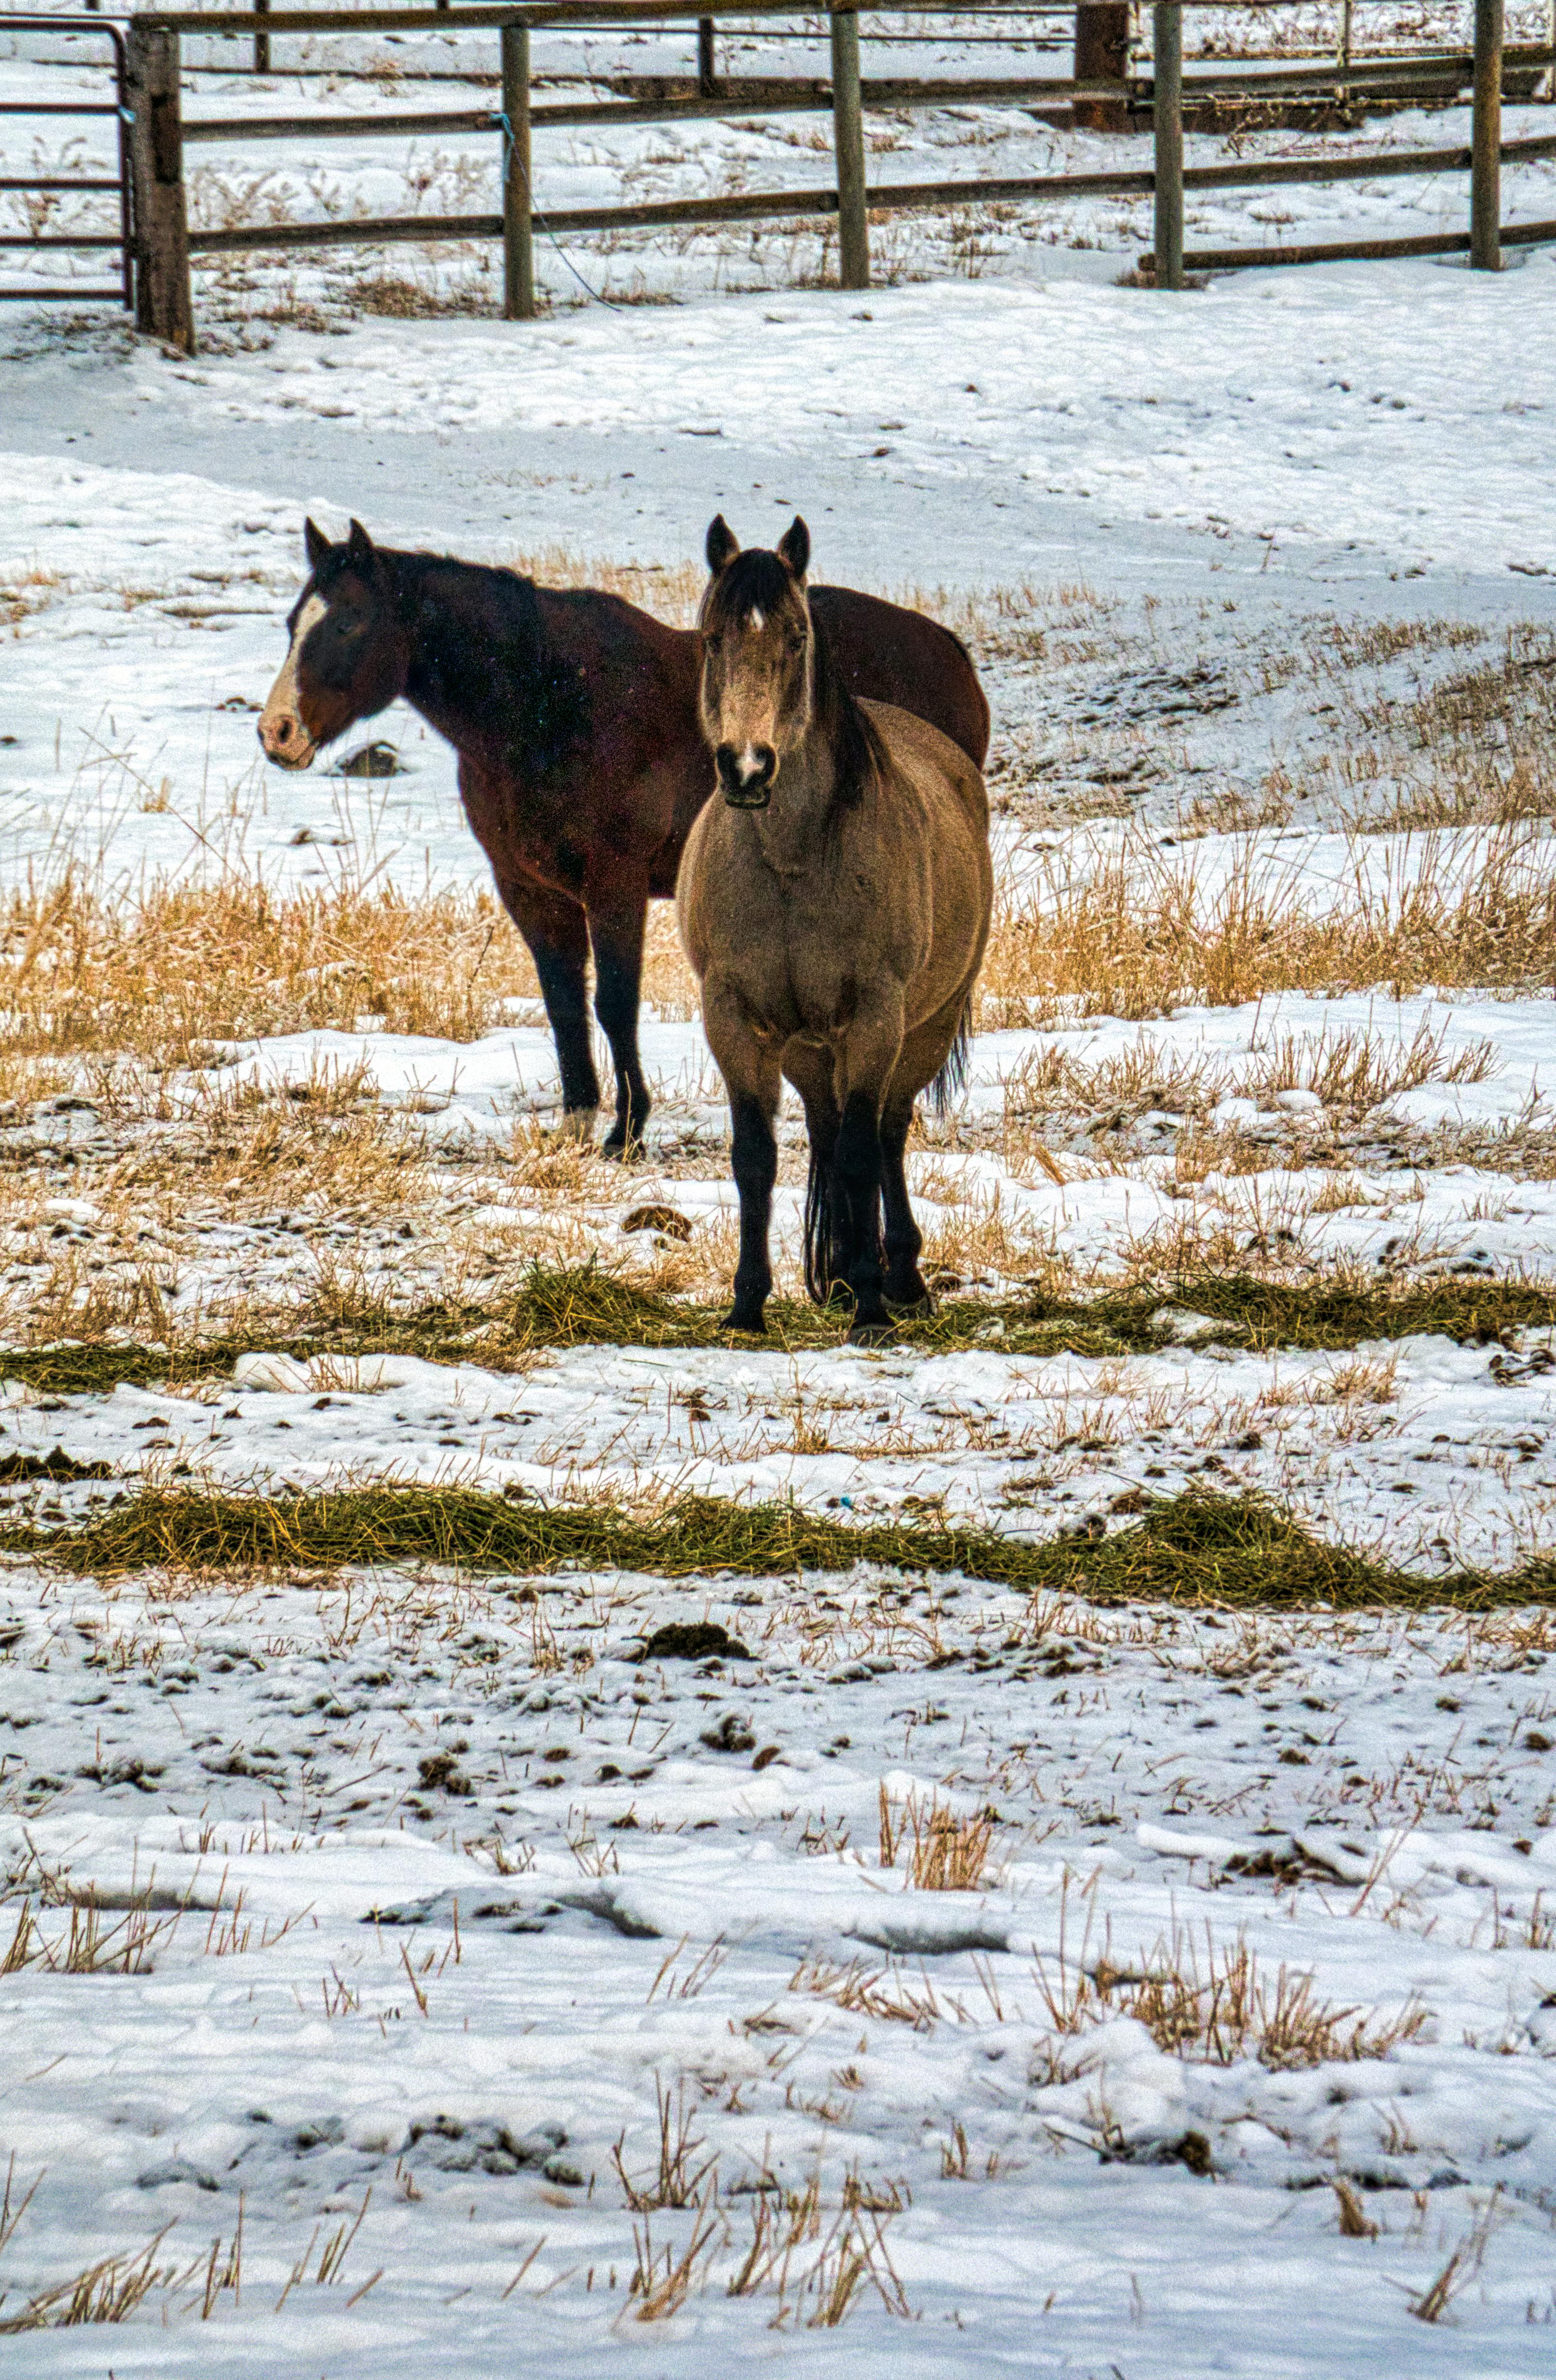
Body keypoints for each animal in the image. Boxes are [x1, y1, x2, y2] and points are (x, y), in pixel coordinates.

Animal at [257, 518, 989, 1157]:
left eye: (348, 623)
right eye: (292, 625)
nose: (278, 732)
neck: (546, 703)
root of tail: (950, 652)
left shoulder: (614, 885)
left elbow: (614, 1004)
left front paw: (627, 1130)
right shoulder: (531, 890)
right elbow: (563, 1004)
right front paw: (578, 1121)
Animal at [676, 514, 993, 1343]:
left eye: (796, 638)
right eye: (712, 638)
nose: (747, 768)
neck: (792, 861)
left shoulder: (875, 1018)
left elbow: (859, 1156)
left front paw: (874, 1307)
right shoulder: (735, 1019)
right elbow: (755, 1156)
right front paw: (747, 1306)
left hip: (920, 1030)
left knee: (884, 1133)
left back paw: (898, 1277)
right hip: (809, 1048)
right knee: (827, 1129)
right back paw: (848, 1274)